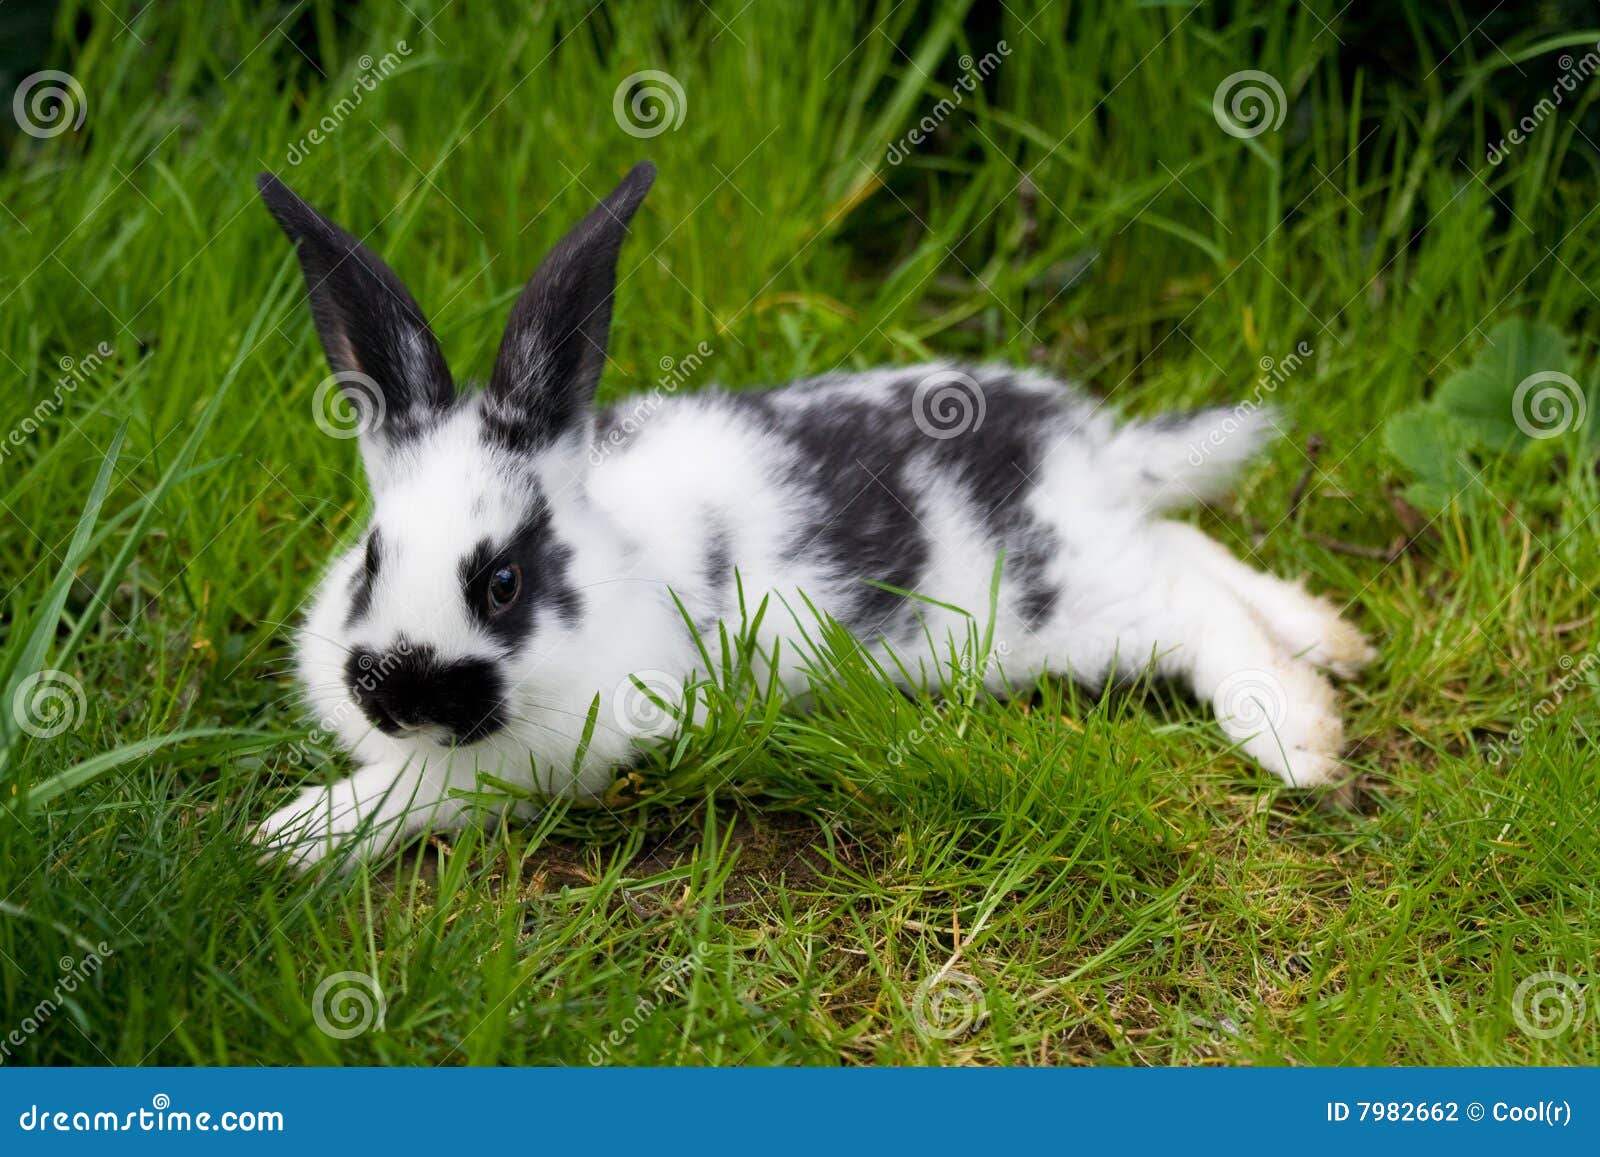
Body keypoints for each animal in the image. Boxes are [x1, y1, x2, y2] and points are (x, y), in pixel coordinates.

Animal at [253, 160, 1375, 869]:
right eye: (370, 556)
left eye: (501, 581)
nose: (400, 690)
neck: (610, 562)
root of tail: (1085, 447)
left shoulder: (556, 752)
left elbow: (419, 788)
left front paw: (284, 840)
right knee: (1184, 545)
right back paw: (1333, 638)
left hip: (1068, 607)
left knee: (1192, 608)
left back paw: (1299, 735)